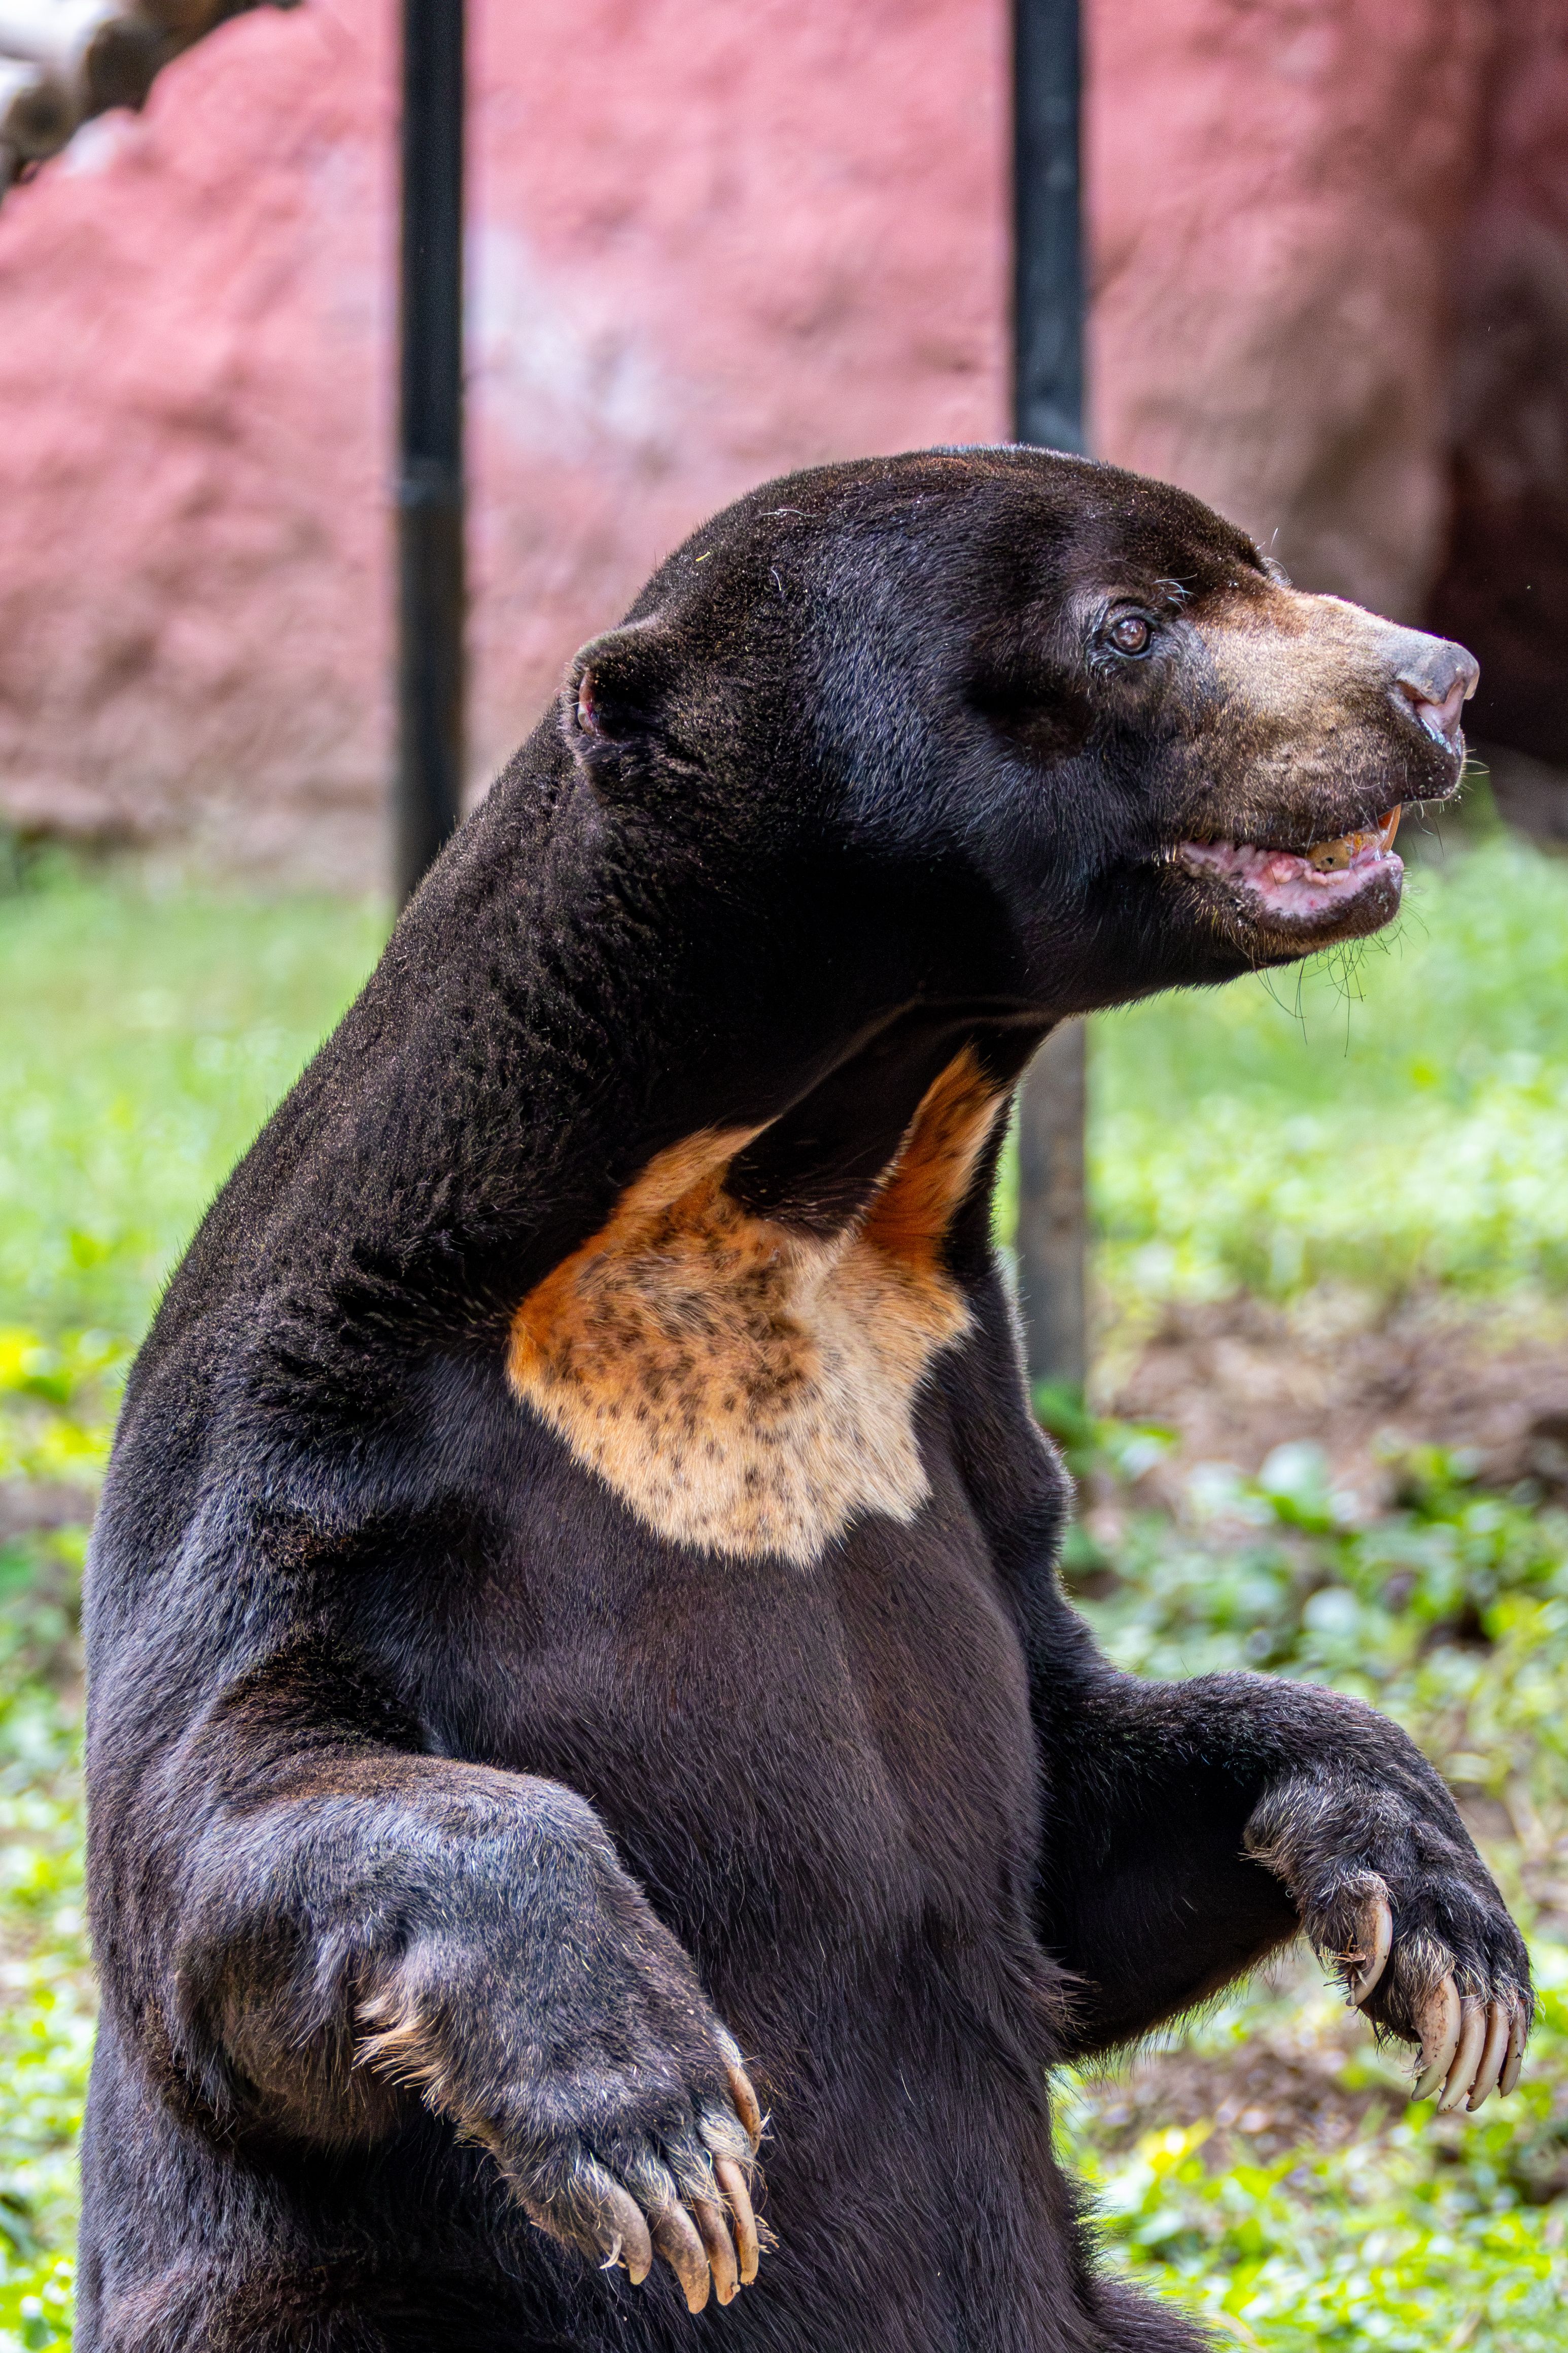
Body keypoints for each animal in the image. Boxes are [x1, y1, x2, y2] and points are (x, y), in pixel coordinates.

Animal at [78, 445, 1529, 2353]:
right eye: (1125, 627)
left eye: (1252, 566)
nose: (1439, 682)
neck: (776, 1199)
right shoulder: (322, 1430)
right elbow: (210, 1824)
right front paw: (650, 2109)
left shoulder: (945, 1414)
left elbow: (1070, 1811)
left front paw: (1440, 1925)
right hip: (359, 2288)